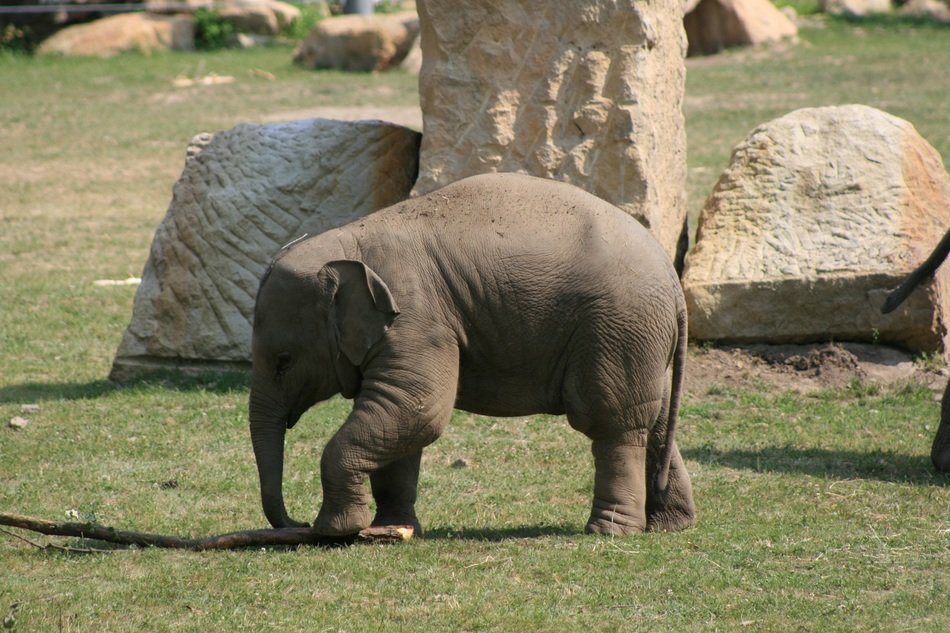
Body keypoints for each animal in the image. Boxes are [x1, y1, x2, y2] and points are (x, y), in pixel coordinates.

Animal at [249, 172, 696, 537]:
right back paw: (670, 525)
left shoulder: (417, 321)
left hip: (617, 328)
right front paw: (390, 529)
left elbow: (417, 409)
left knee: (612, 422)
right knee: (654, 422)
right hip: (642, 338)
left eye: (284, 361)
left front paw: (336, 530)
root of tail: (673, 281)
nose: (296, 522)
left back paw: (609, 531)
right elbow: (401, 419)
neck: (347, 241)